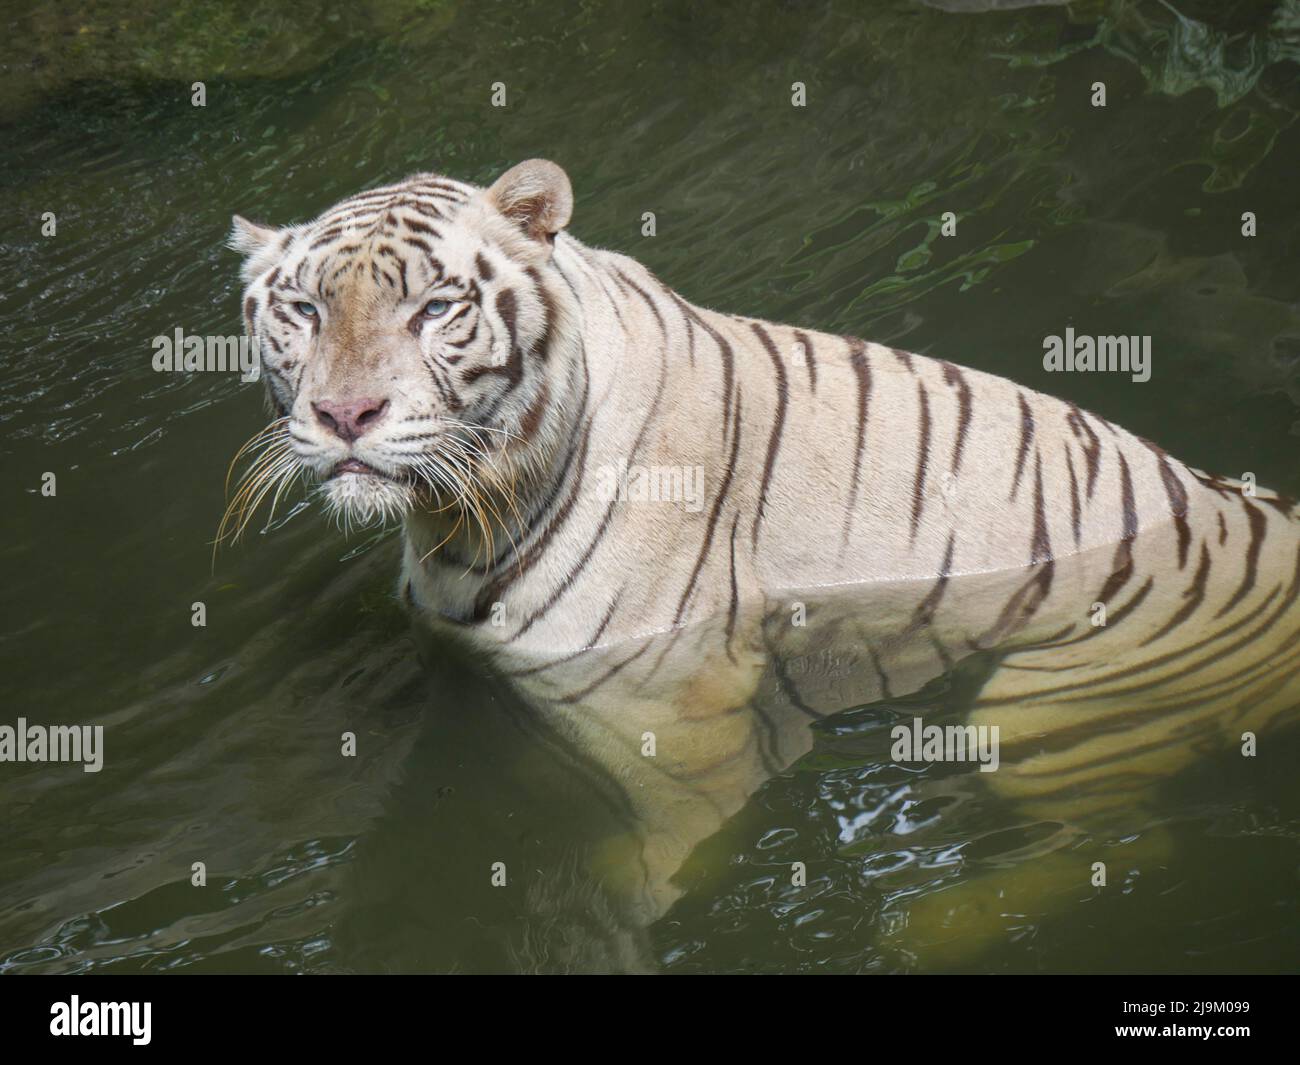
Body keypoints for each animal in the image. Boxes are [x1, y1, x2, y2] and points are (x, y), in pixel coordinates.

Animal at [227, 158, 1300, 971]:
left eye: (435, 308)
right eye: (304, 312)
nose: (345, 415)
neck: (456, 517)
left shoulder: (674, 712)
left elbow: (661, 851)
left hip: (1050, 710)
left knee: (1126, 845)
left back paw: (931, 926)